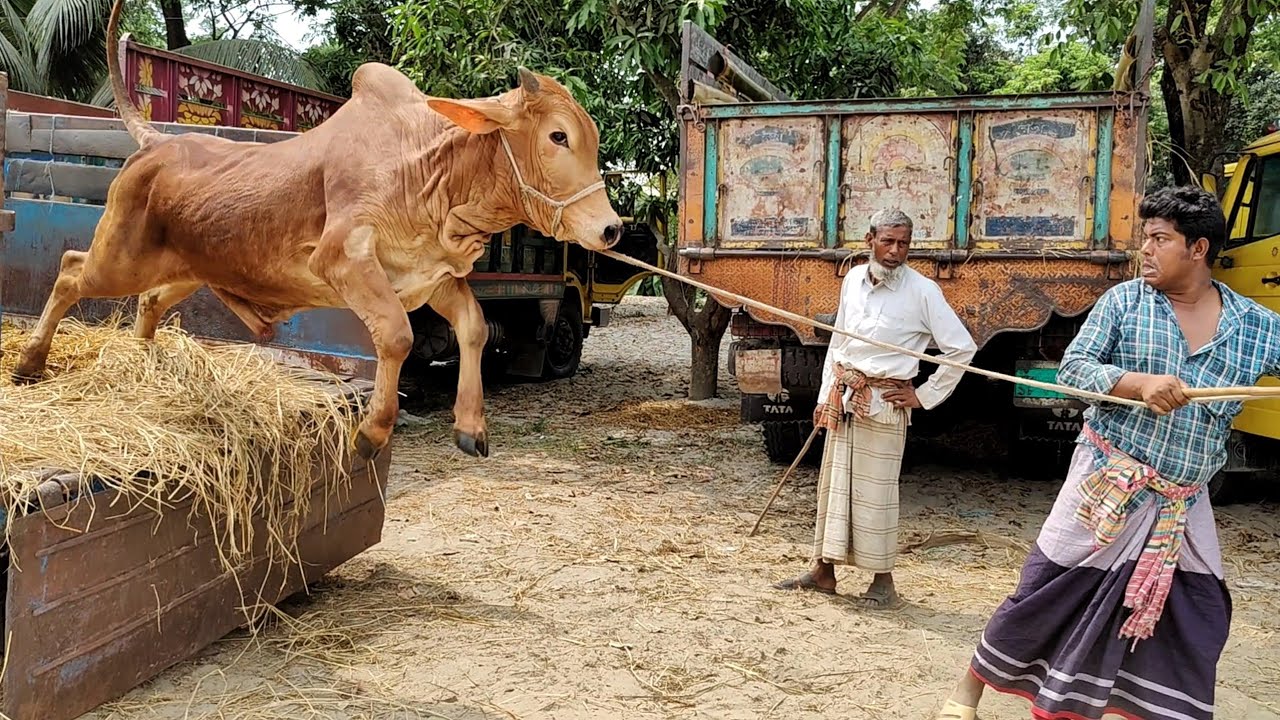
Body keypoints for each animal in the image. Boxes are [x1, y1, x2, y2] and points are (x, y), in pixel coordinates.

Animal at [11, 0, 623, 461]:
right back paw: (29, 364)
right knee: (69, 271)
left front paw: (471, 427)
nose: (612, 229)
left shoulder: (428, 277)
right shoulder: (343, 260)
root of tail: (157, 143)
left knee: (149, 301)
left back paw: (147, 368)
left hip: (189, 269)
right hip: (118, 257)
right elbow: (396, 337)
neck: (429, 172)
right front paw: (372, 433)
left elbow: (473, 326)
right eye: (559, 136)